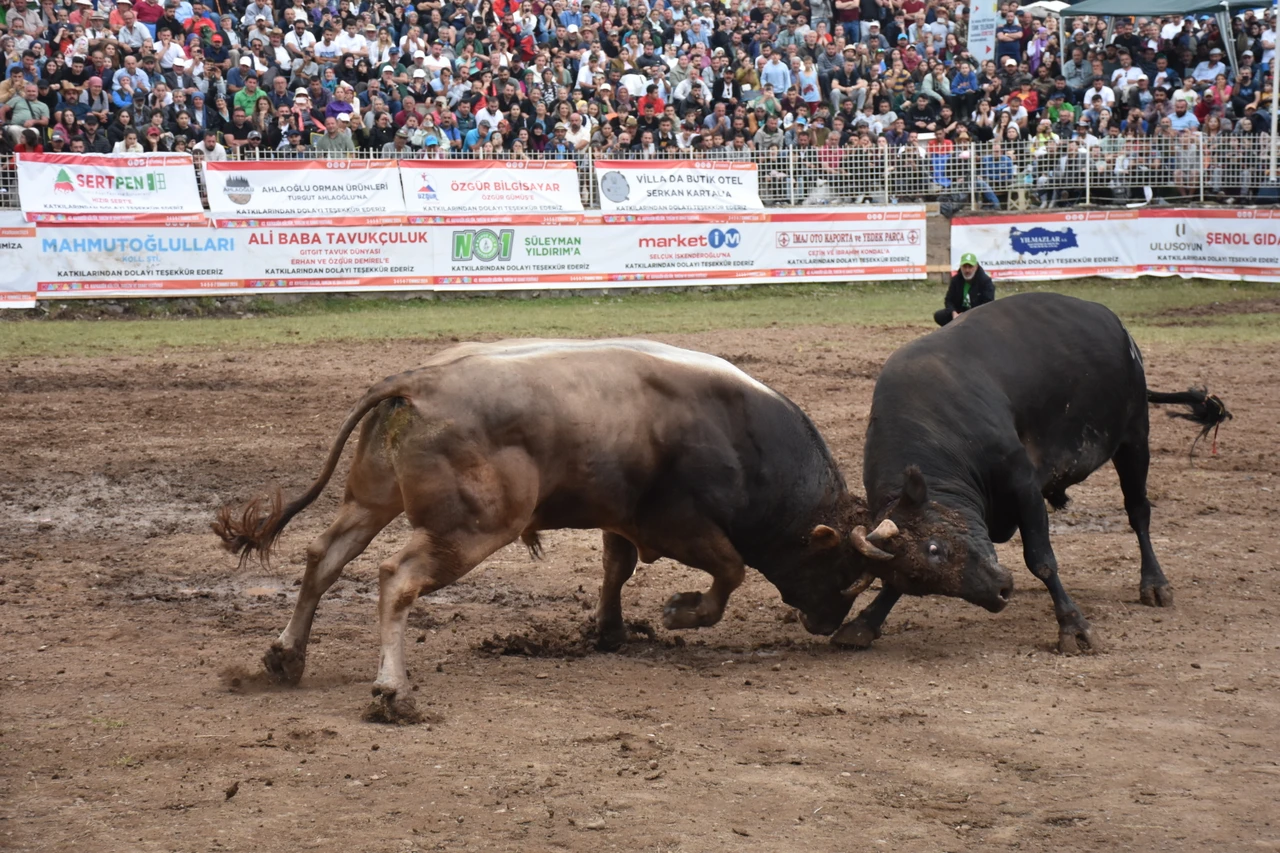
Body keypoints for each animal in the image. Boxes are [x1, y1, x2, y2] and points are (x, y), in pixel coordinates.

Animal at [214, 339, 888, 722]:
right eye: (843, 571)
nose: (830, 624)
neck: (740, 438)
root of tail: (416, 382)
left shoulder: (620, 517)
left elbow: (616, 569)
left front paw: (610, 631)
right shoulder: (678, 524)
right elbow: (729, 572)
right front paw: (679, 611)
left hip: (369, 500)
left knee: (323, 558)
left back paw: (286, 656)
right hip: (470, 530)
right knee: (395, 578)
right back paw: (392, 692)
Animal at [830, 293, 1230, 654]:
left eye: (935, 547)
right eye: (918, 575)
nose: (999, 594)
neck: (939, 425)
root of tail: (1117, 327)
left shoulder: (1023, 487)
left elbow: (1041, 559)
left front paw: (1073, 626)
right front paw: (865, 623)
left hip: (1134, 440)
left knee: (1138, 512)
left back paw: (1154, 583)